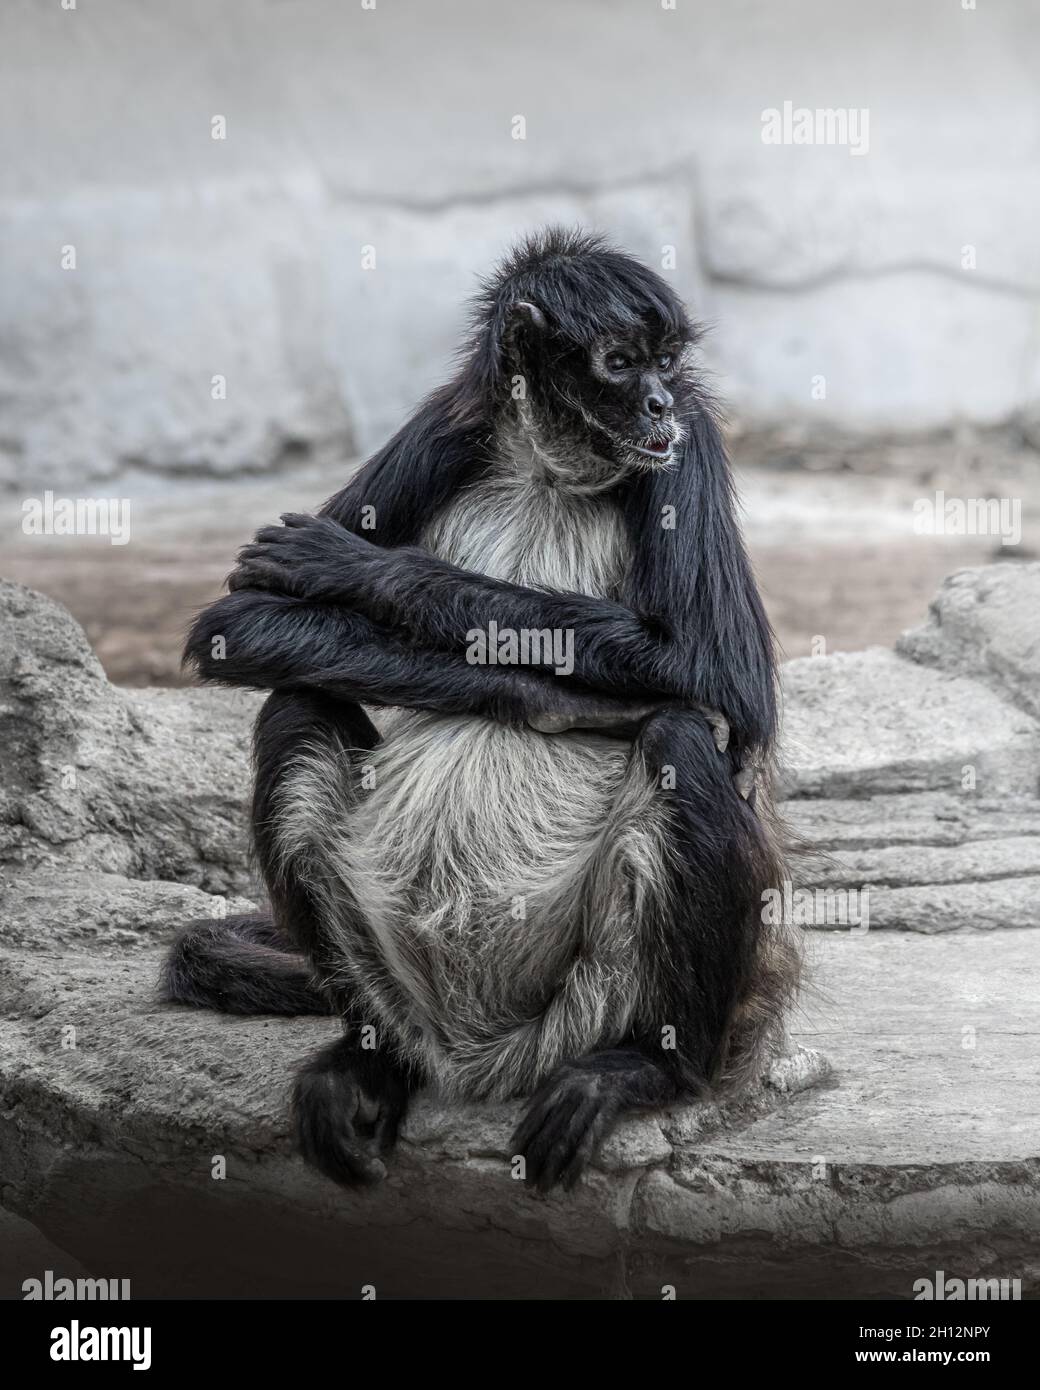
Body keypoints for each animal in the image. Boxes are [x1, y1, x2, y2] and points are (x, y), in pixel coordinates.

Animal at [161, 228, 800, 1193]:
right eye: (620, 362)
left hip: (596, 993)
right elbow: (242, 620)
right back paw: (371, 1059)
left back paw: (654, 1068)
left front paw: (371, 571)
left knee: (680, 733)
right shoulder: (450, 425)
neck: (552, 470)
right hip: (392, 975)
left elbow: (716, 670)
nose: (657, 398)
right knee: (294, 702)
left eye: (668, 363)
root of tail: (475, 1055)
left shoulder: (688, 440)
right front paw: (541, 693)